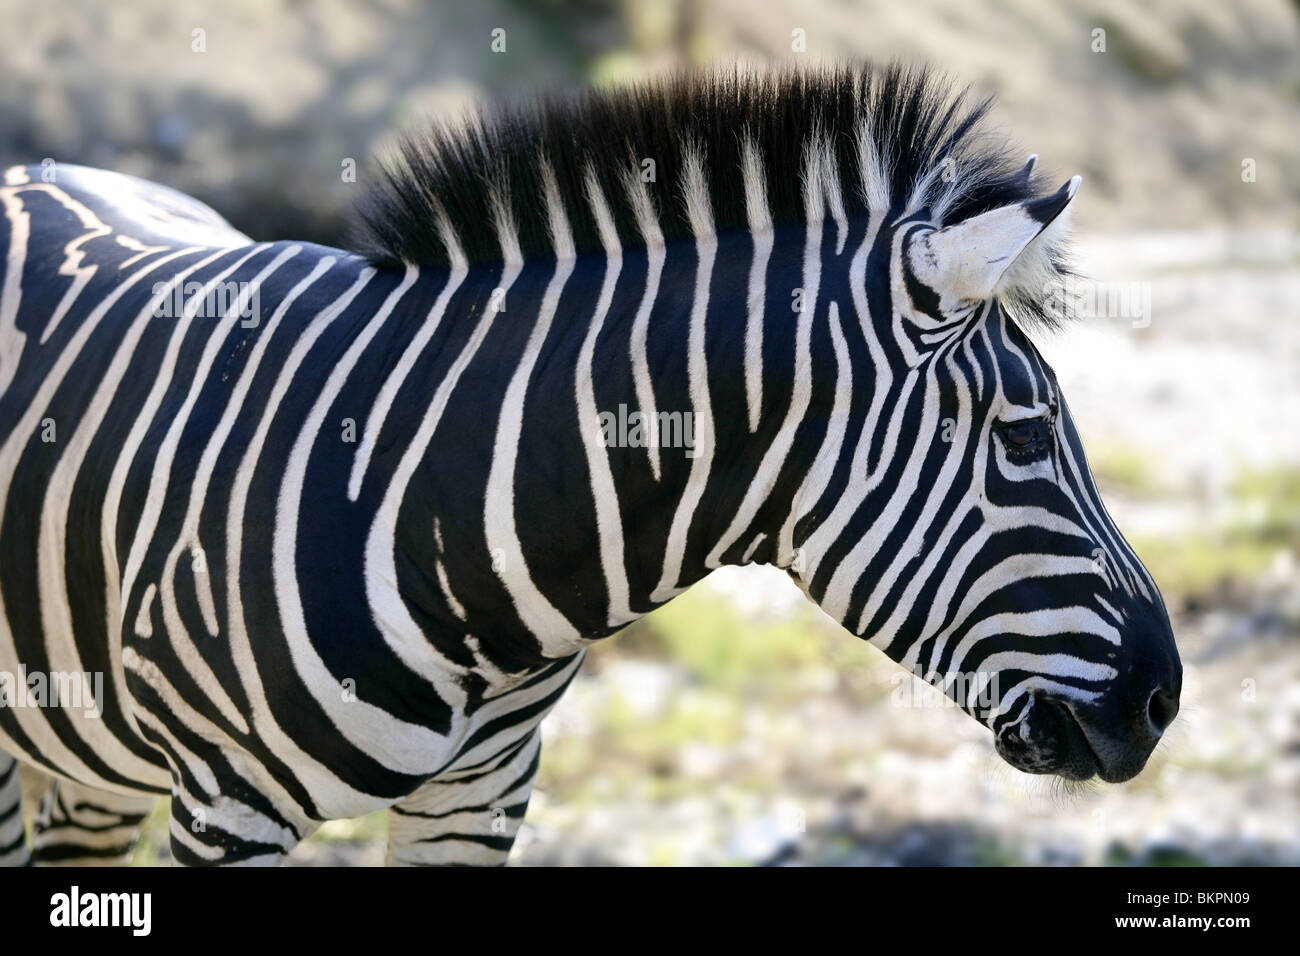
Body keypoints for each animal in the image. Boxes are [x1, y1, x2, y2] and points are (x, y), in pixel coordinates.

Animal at [0, 63, 1181, 866]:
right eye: (1023, 436)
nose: (1163, 697)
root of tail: (38, 170)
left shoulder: (478, 799)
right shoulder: (227, 808)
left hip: (90, 754)